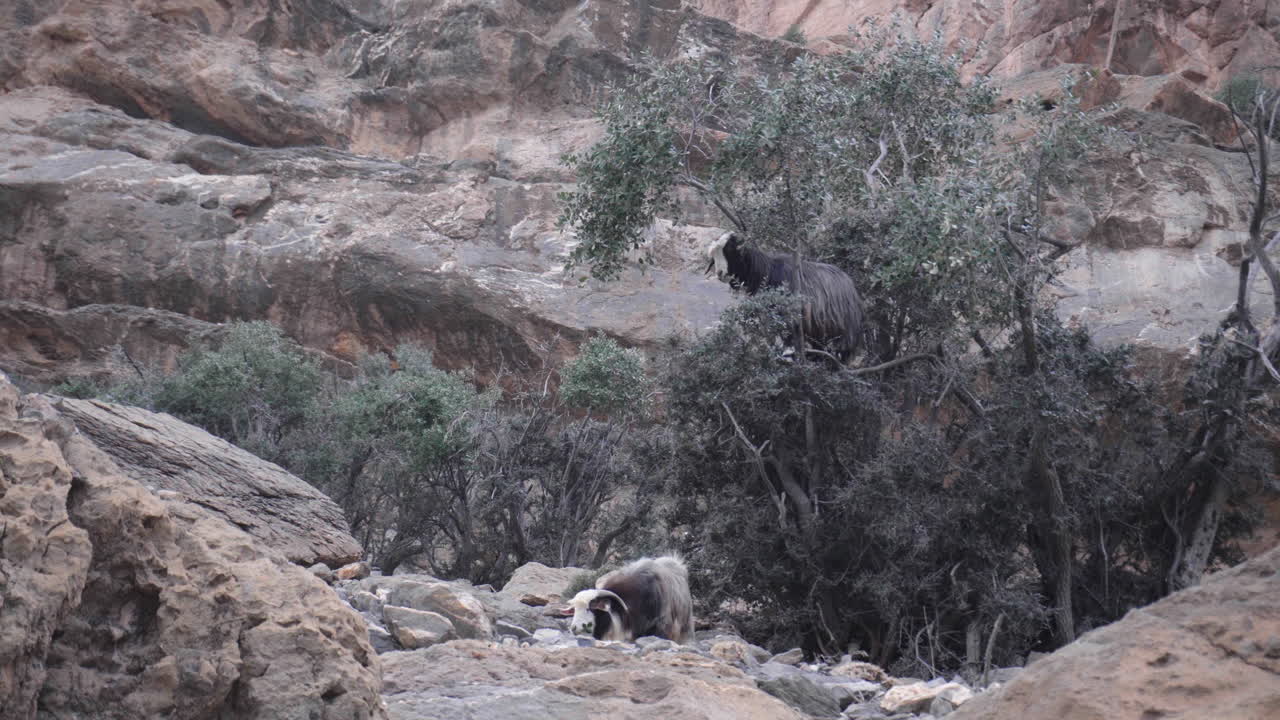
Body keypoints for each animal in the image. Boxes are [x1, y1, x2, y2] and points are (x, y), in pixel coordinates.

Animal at [706, 231, 865, 362]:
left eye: (730, 250)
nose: (720, 273)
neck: (767, 272)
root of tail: (850, 285)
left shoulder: (789, 318)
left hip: (844, 333)